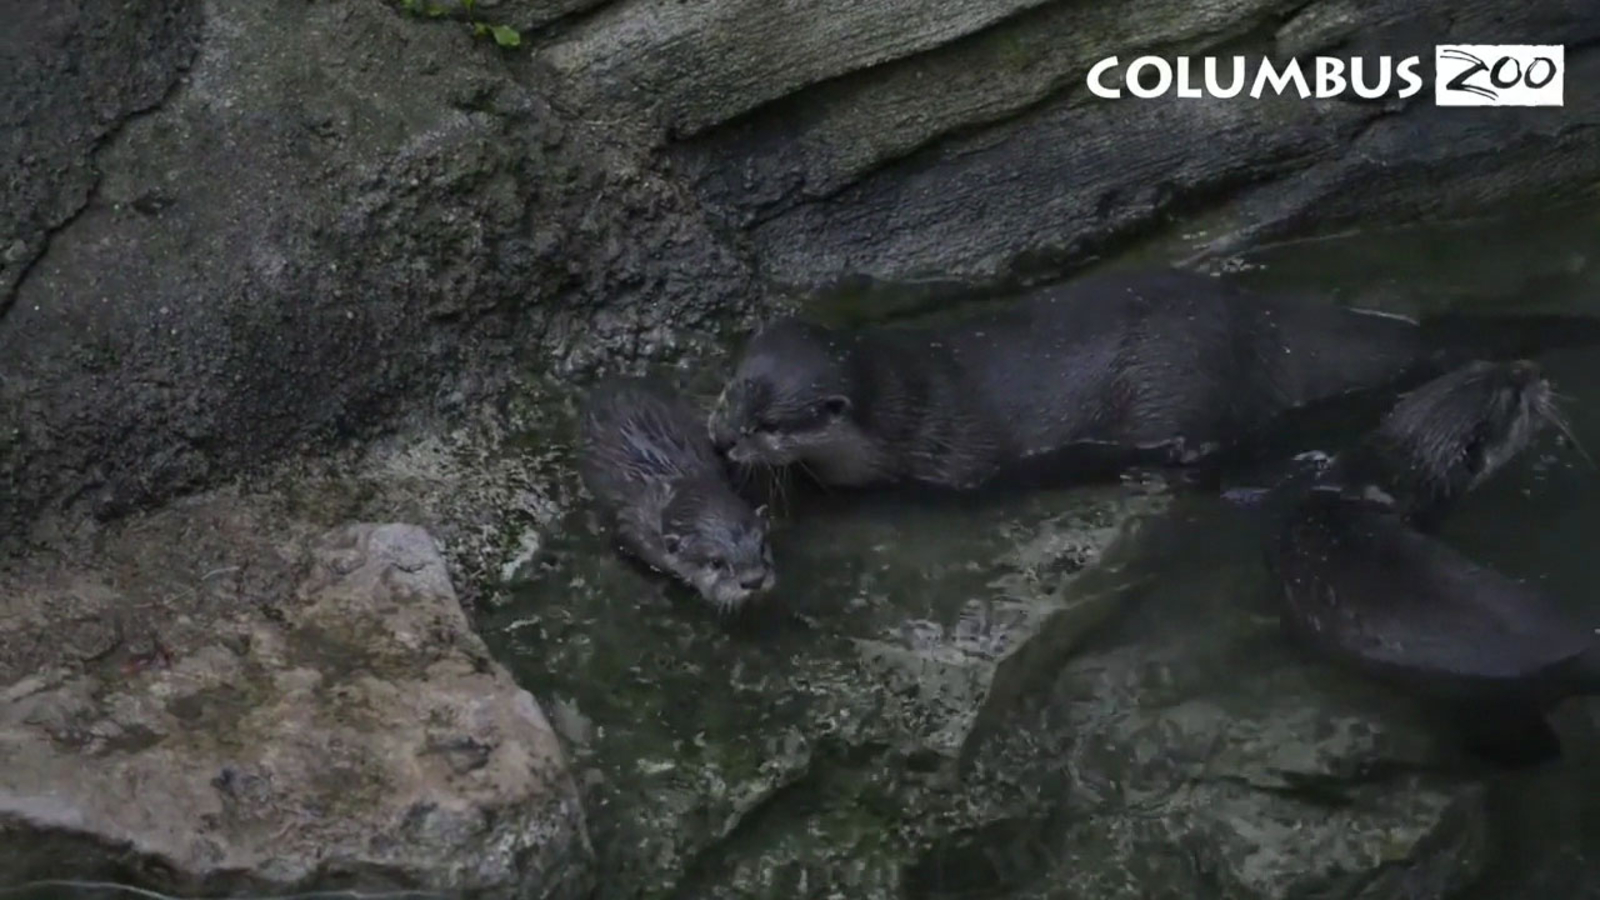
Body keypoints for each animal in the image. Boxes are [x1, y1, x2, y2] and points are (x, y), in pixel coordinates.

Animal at [709, 267, 1600, 491]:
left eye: (769, 423)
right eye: (731, 388)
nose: (720, 440)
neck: (905, 402)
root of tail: (1260, 328)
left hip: (1182, 385)